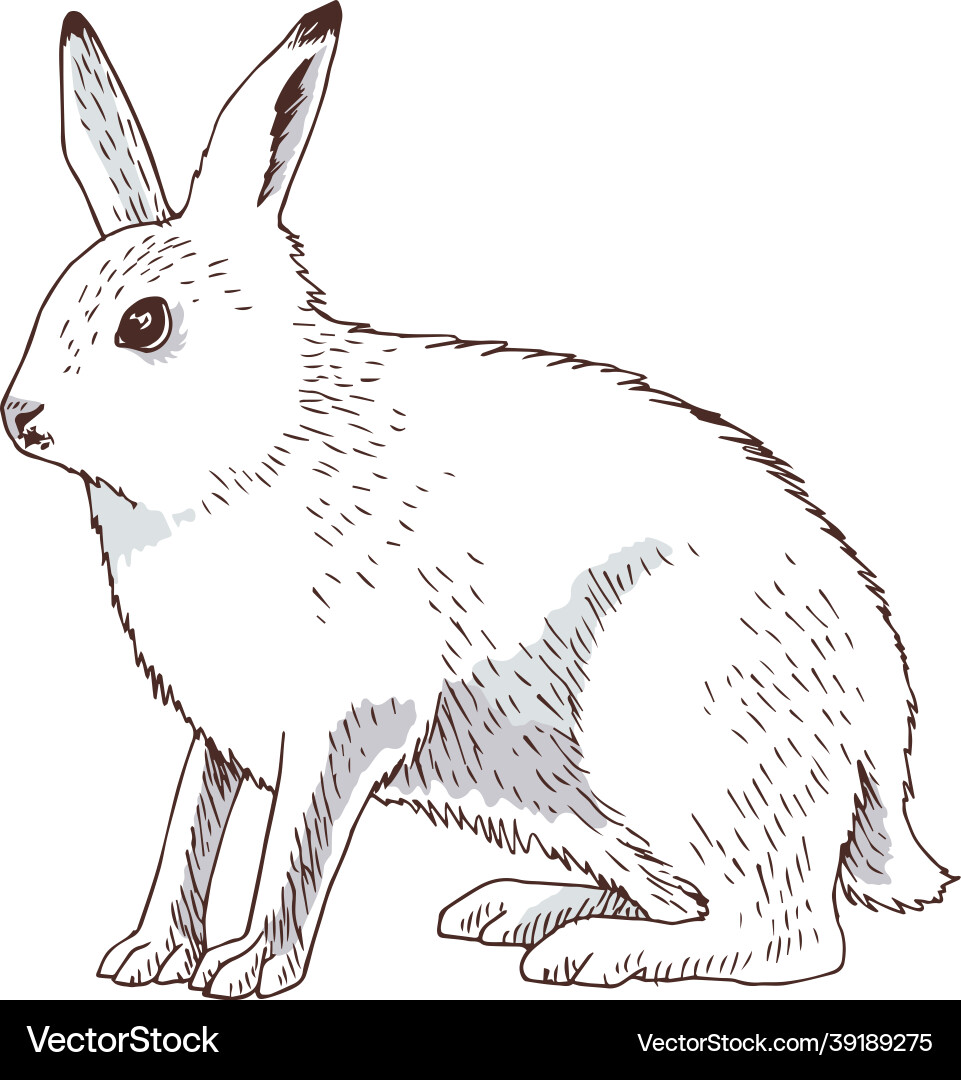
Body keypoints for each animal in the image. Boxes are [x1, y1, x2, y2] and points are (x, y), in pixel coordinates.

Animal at [3, 2, 953, 999]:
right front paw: (144, 956)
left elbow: (292, 849)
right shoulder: (220, 730)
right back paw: (513, 912)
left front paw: (251, 967)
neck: (255, 437)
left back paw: (594, 953)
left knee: (786, 935)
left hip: (681, 737)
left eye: (143, 324)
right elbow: (192, 827)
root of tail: (883, 741)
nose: (18, 417)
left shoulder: (346, 719)